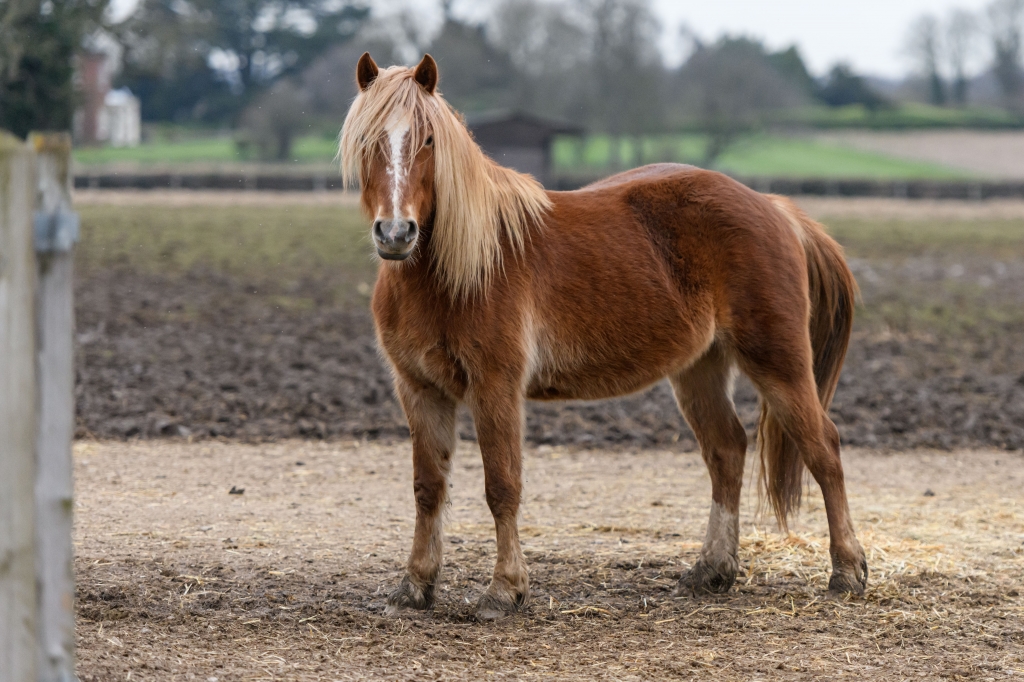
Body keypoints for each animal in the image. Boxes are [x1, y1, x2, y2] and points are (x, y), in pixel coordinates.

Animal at [339, 53, 867, 620]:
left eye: (429, 139)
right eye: (367, 139)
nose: (397, 233)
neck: (461, 267)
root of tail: (775, 208)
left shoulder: (495, 388)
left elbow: (501, 485)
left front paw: (504, 590)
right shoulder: (419, 389)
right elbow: (427, 488)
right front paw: (416, 584)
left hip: (778, 363)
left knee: (823, 448)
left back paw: (847, 571)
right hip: (699, 369)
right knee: (727, 449)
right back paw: (712, 570)